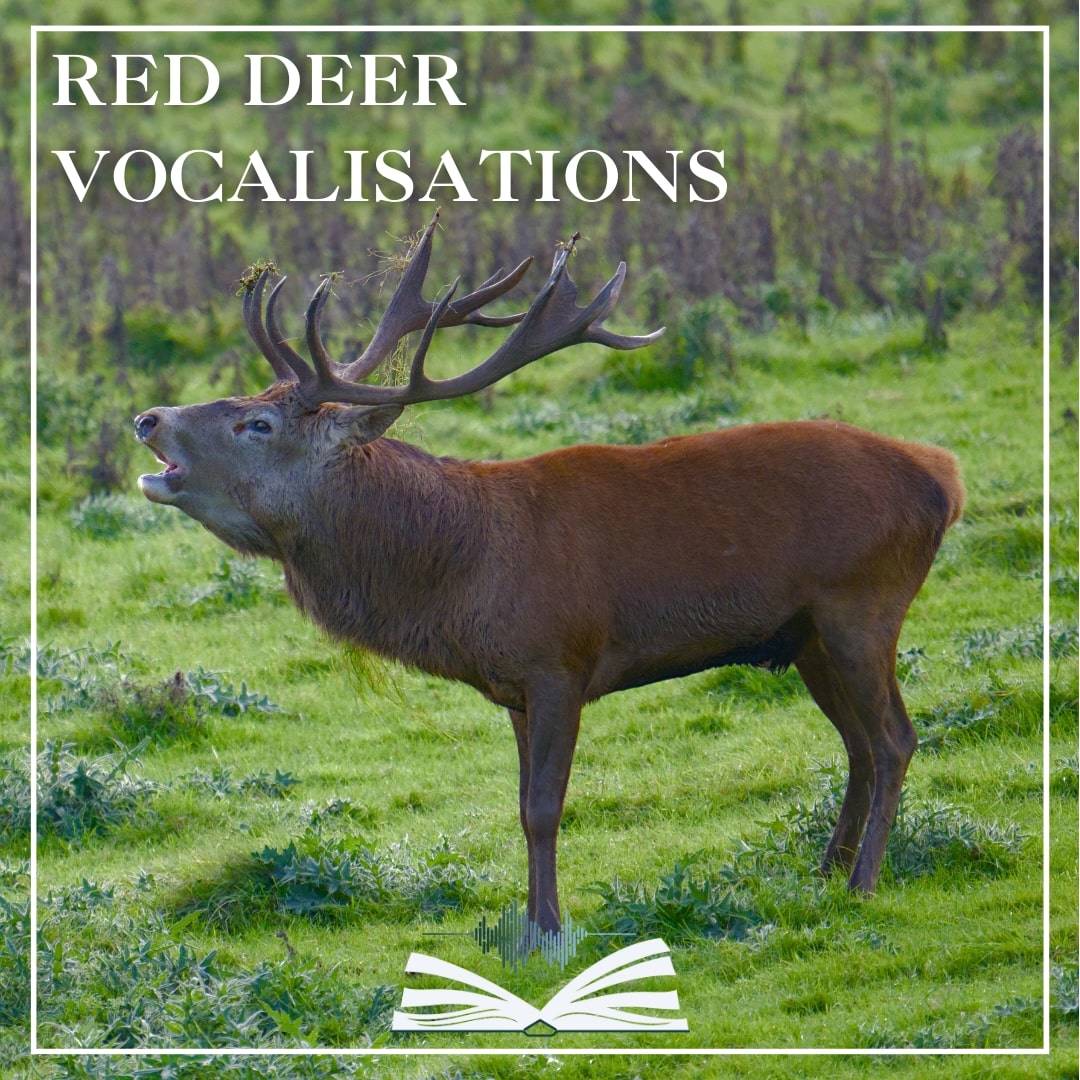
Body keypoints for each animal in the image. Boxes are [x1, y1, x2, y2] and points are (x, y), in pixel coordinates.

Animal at [135, 213, 964, 935]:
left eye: (257, 423)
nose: (148, 418)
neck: (459, 569)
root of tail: (942, 478)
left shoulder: (560, 659)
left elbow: (543, 807)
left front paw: (550, 929)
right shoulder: (511, 685)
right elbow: (519, 805)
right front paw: (533, 917)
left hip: (863, 604)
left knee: (894, 740)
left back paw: (863, 883)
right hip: (807, 636)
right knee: (858, 745)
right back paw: (824, 870)